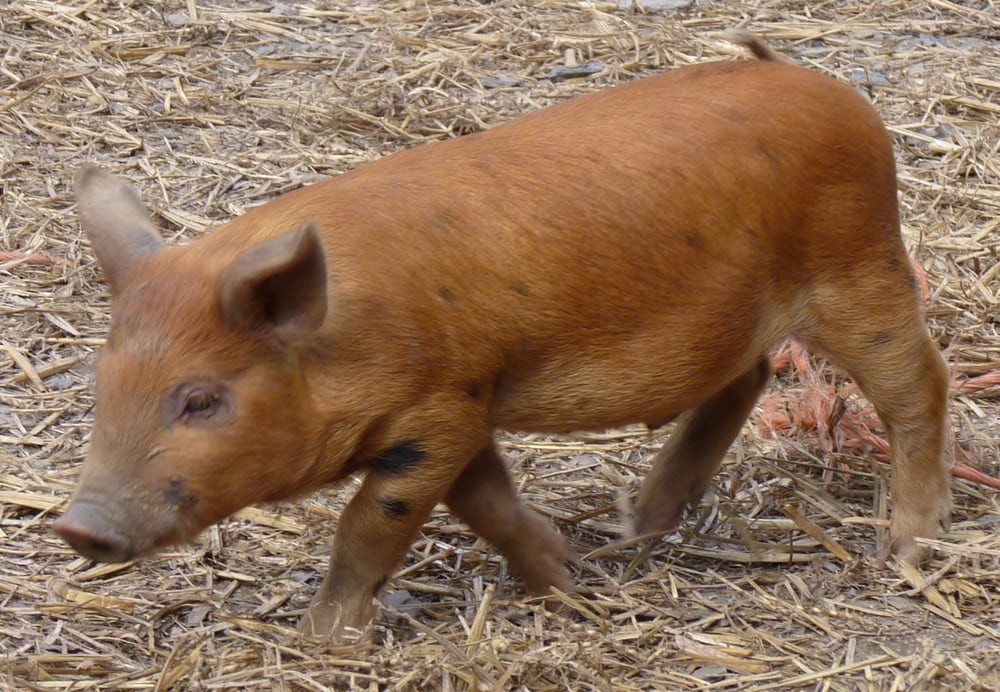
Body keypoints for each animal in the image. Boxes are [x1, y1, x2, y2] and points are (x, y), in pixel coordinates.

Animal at [55, 33, 951, 642]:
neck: (345, 334)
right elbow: (485, 500)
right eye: (102, 386)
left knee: (920, 384)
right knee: (746, 378)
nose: (79, 526)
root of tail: (823, 86)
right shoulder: (461, 406)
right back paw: (636, 524)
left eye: (200, 400)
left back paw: (908, 551)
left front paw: (323, 644)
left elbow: (370, 525)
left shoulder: (437, 412)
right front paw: (566, 579)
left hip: (859, 266)